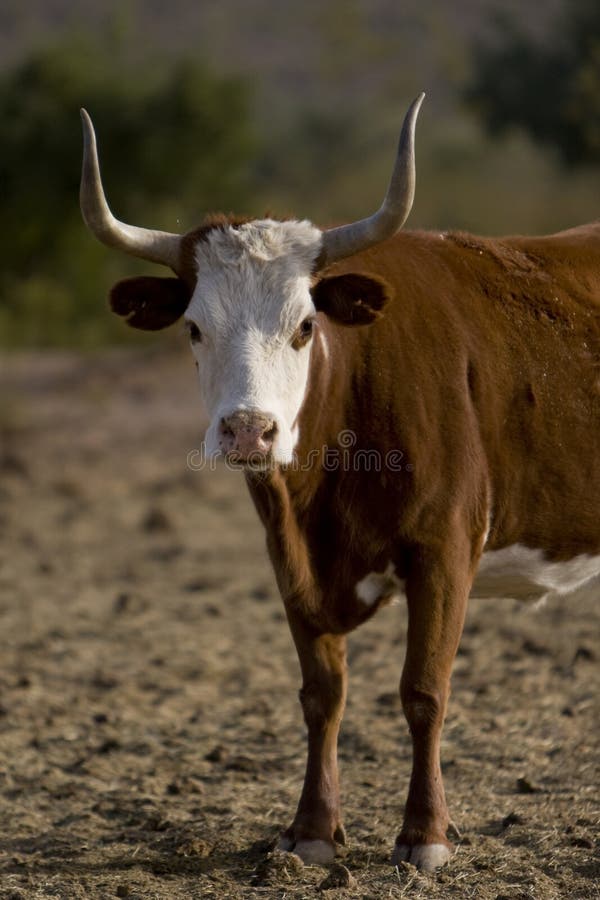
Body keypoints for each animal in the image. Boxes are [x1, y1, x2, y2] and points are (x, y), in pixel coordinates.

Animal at [79, 96, 600, 871]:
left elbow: (424, 691)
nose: (248, 431)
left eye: (304, 326)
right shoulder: (290, 560)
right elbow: (322, 694)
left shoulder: (445, 550)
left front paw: (425, 835)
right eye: (194, 329)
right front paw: (314, 829)